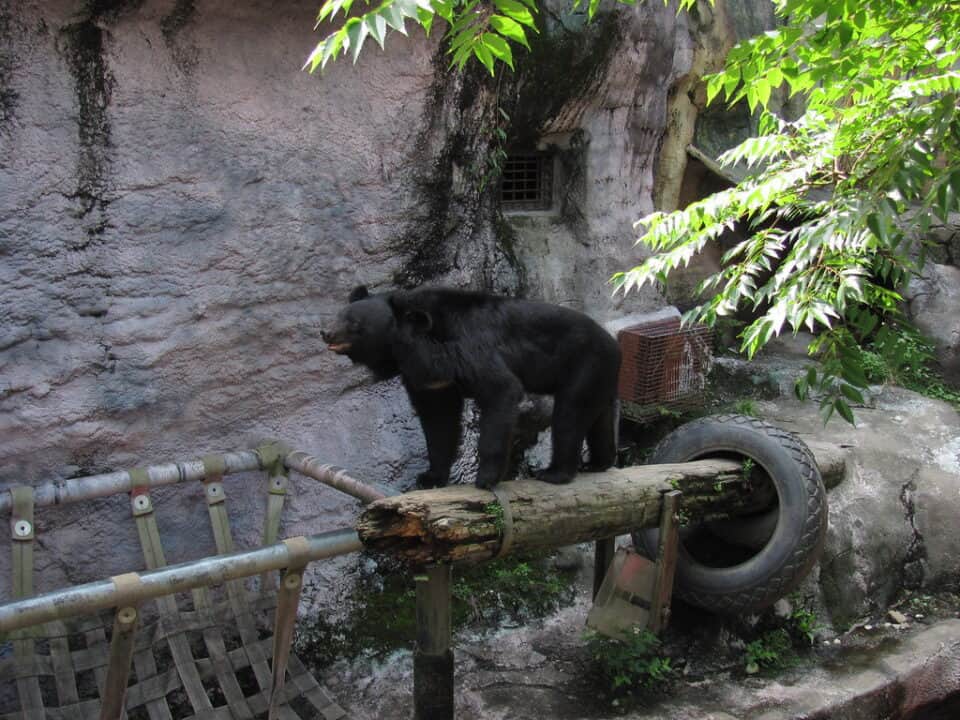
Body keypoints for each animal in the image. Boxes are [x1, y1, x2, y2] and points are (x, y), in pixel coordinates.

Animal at [322, 285, 622, 490]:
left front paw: (485, 480)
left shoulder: (468, 346)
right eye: (339, 314)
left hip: (583, 365)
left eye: (354, 323)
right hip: (600, 377)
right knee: (599, 418)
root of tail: (614, 345)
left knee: (569, 416)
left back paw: (554, 472)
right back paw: (598, 462)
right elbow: (438, 419)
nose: (326, 332)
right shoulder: (427, 376)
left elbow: (501, 389)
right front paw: (429, 477)